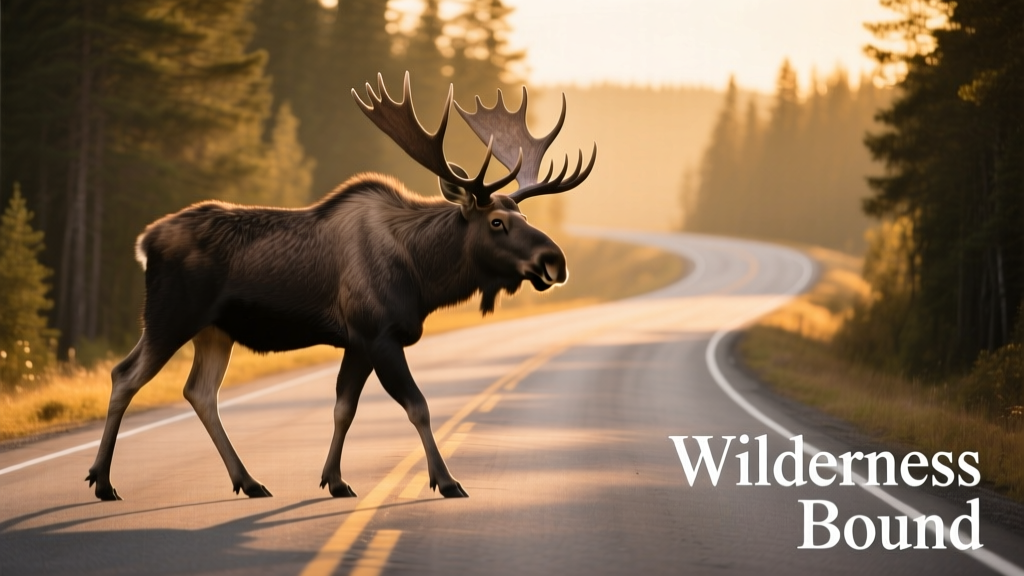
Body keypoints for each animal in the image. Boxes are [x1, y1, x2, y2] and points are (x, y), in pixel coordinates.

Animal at [85, 73, 596, 501]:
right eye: (496, 222)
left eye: (523, 215)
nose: (554, 261)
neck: (422, 275)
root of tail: (145, 242)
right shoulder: (379, 334)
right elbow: (418, 406)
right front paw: (446, 480)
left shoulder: (357, 341)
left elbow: (343, 408)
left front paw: (334, 479)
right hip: (171, 316)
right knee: (125, 375)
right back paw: (103, 481)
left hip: (215, 330)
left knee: (199, 392)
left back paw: (248, 481)